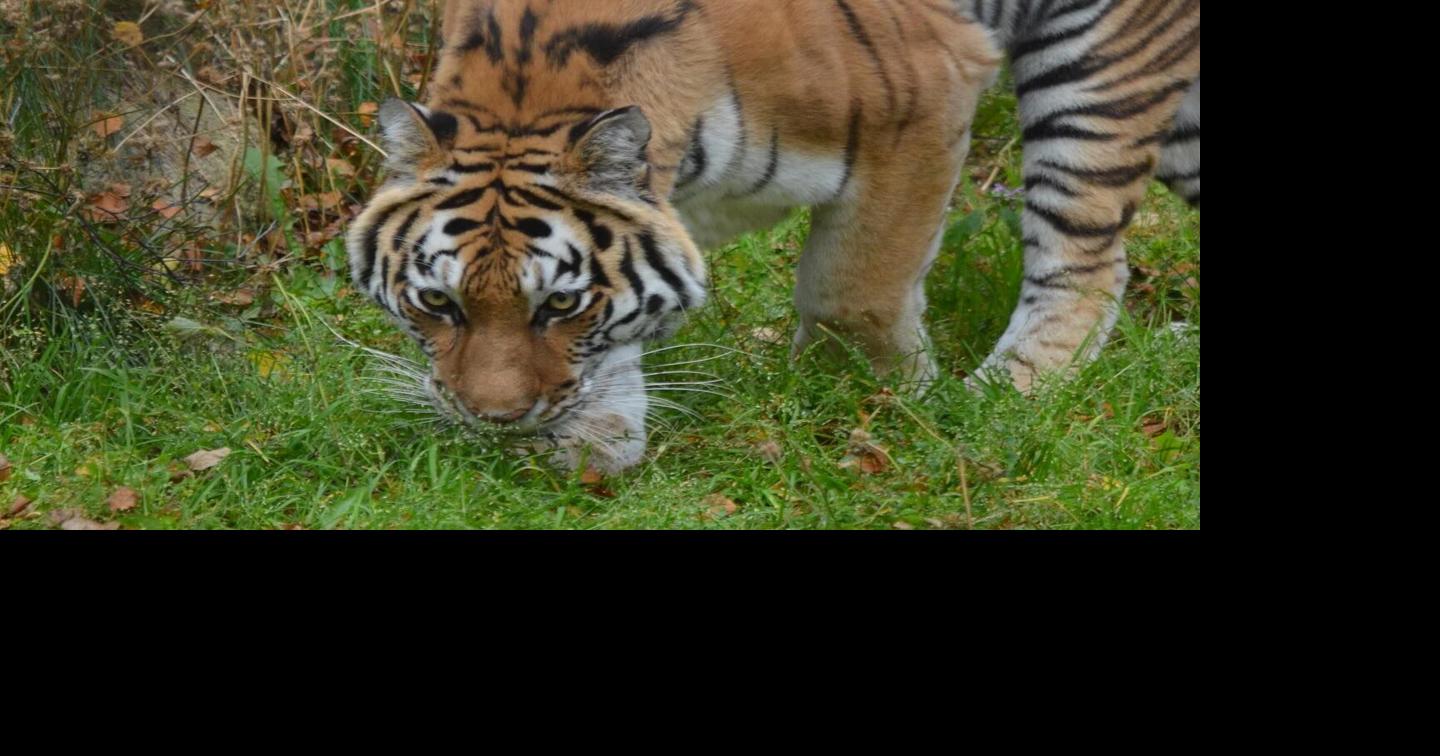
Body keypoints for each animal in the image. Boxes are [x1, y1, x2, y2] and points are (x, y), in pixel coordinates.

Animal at [347, 0, 1201, 473]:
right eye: (438, 303)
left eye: (559, 305)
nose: (495, 425)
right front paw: (586, 445)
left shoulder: (927, 99)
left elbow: (854, 292)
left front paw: (880, 410)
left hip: (1093, 70)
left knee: (1089, 261)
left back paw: (1003, 399)